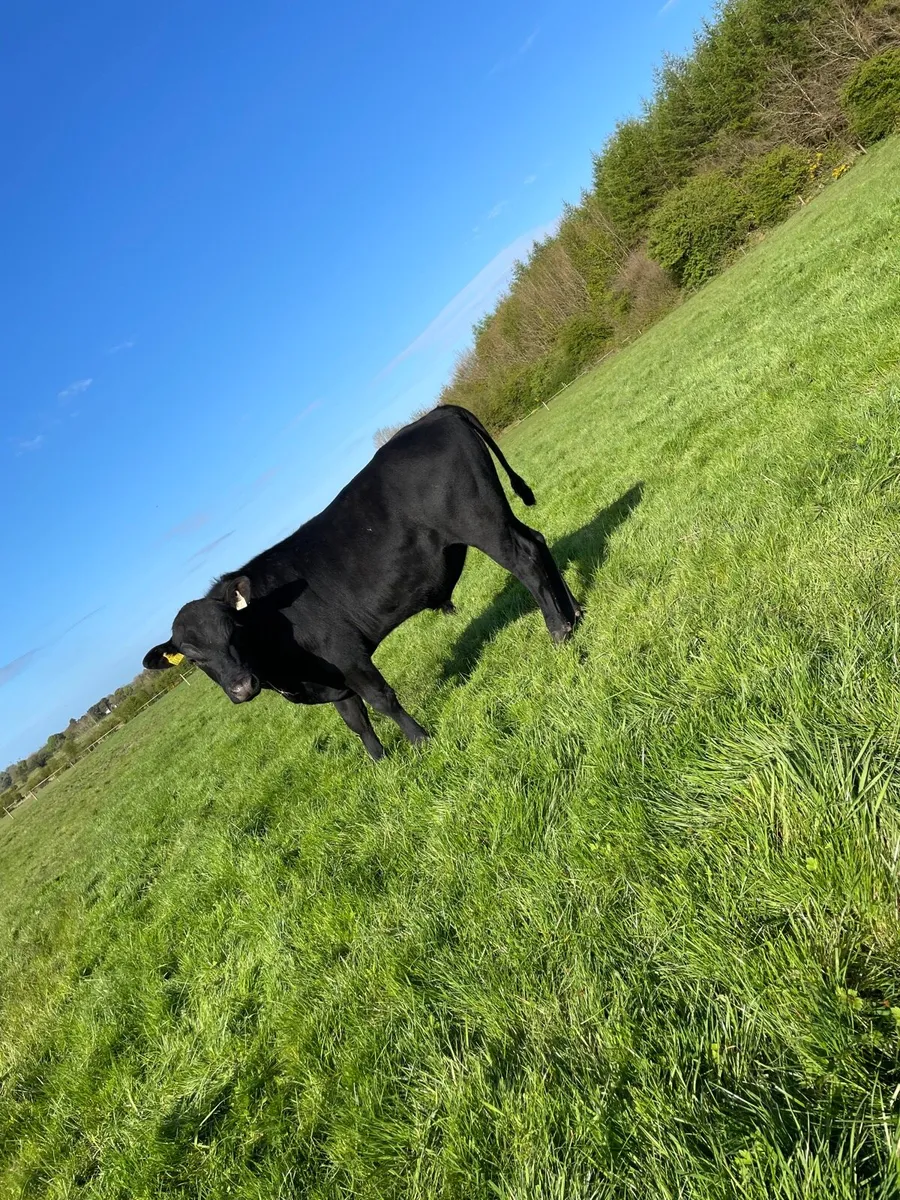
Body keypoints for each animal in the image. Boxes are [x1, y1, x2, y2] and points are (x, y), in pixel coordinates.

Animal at [146, 403, 585, 758]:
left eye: (233, 631)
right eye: (194, 655)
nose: (241, 687)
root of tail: (431, 416)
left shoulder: (346, 653)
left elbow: (381, 700)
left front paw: (421, 741)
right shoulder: (331, 679)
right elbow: (355, 721)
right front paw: (381, 763)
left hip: (482, 523)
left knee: (526, 561)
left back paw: (558, 630)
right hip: (498, 517)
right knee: (538, 541)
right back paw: (576, 612)